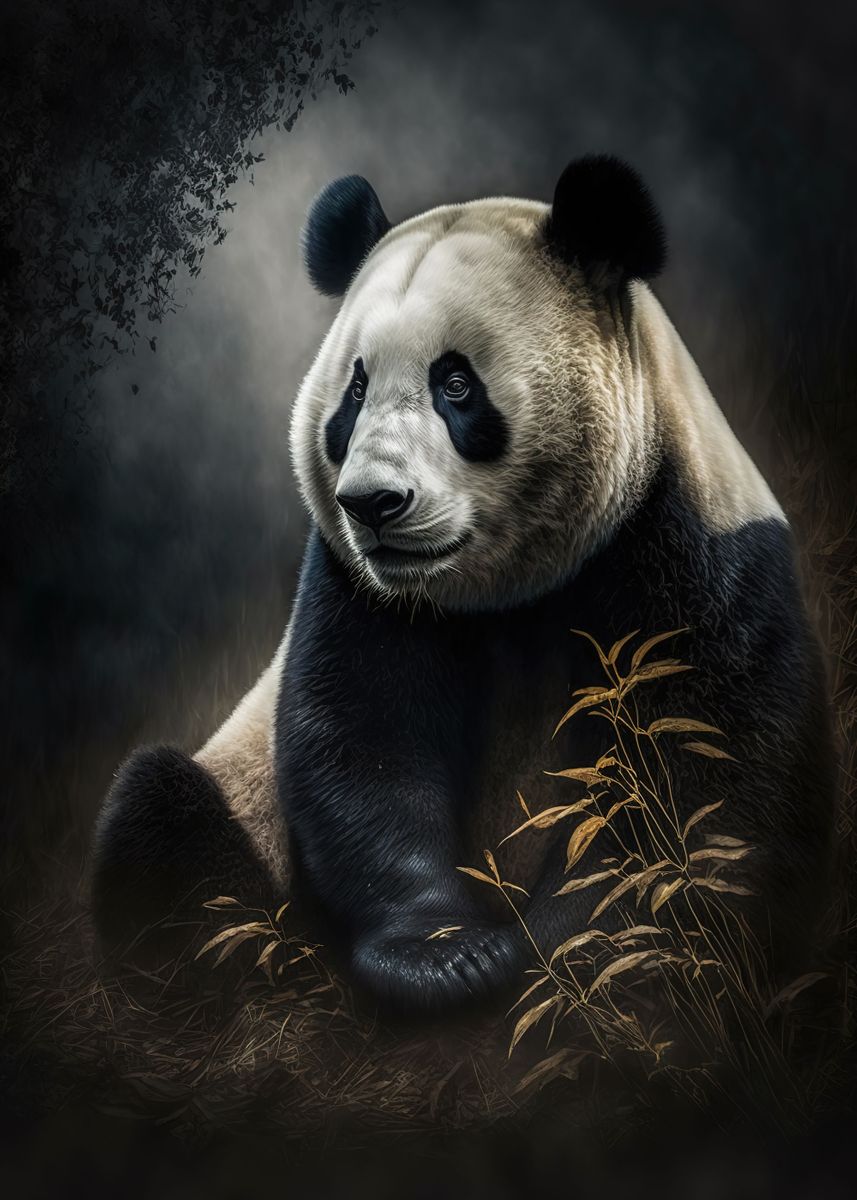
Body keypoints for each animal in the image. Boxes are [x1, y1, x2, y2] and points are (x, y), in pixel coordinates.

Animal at [92, 156, 834, 1014]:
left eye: (455, 385)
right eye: (353, 391)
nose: (373, 503)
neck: (504, 592)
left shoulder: (700, 562)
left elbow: (685, 785)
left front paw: (564, 963)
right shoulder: (359, 588)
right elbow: (362, 743)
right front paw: (448, 955)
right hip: (238, 804)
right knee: (164, 818)